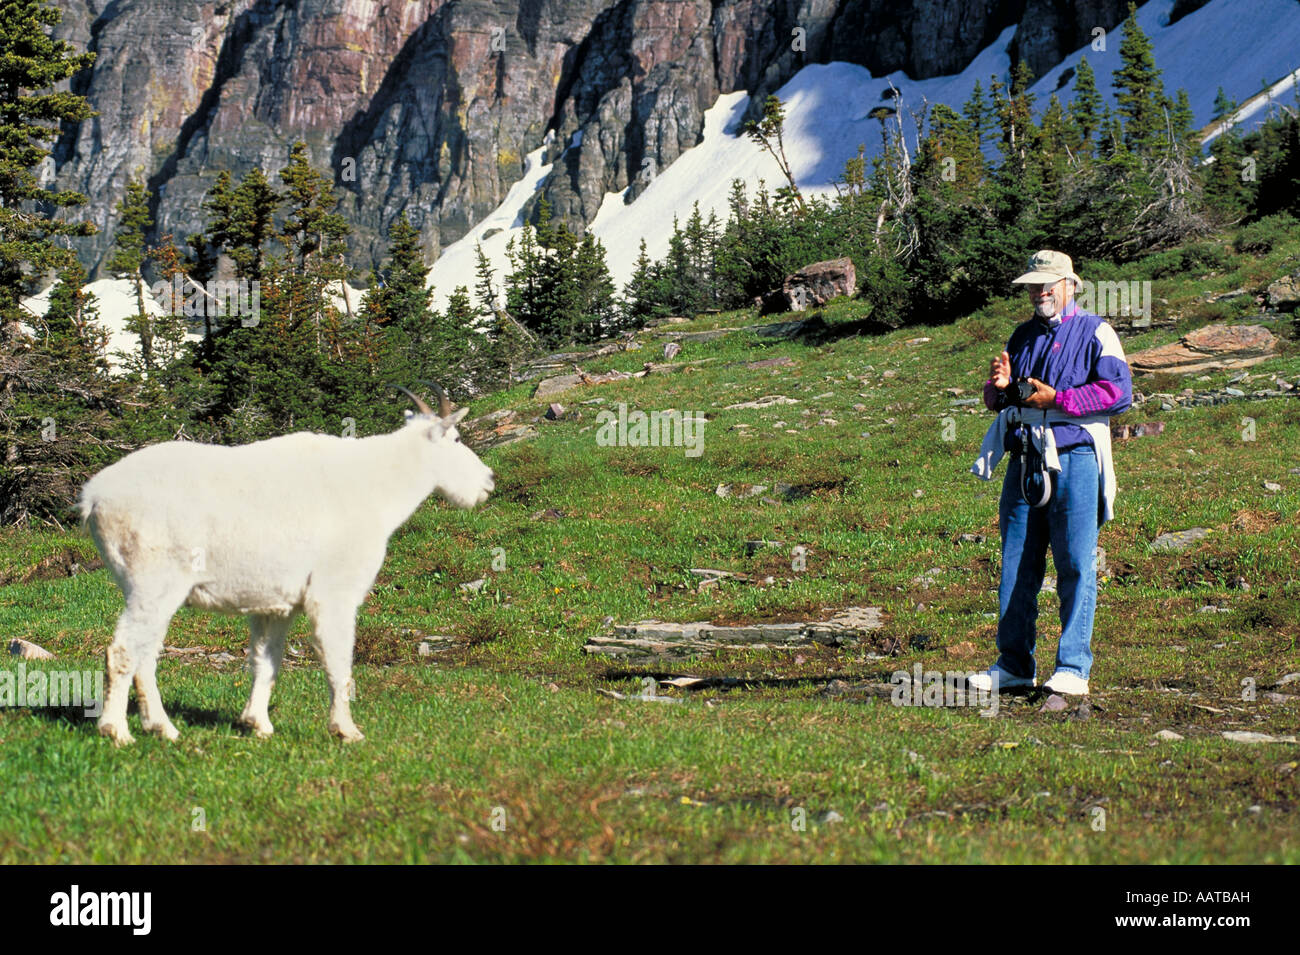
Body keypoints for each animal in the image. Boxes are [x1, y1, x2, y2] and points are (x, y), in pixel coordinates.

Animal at [79, 385, 494, 745]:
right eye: (457, 439)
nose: (488, 481)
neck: (376, 487)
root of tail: (93, 498)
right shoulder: (334, 594)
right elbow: (338, 662)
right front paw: (346, 730)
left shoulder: (276, 605)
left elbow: (267, 659)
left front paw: (258, 724)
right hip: (153, 582)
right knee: (123, 651)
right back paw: (117, 731)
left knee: (146, 652)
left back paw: (163, 728)